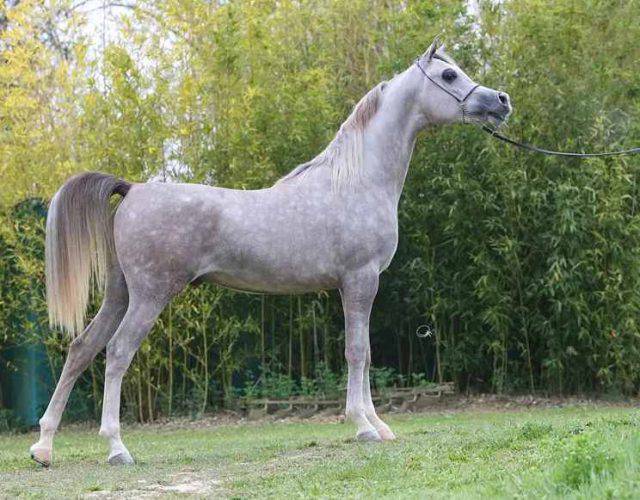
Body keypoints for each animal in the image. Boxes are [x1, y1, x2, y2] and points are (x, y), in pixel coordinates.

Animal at [30, 37, 511, 466]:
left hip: (120, 294)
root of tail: (133, 189)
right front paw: (363, 426)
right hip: (150, 295)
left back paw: (44, 447)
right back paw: (116, 448)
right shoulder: (360, 280)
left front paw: (379, 424)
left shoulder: (358, 285)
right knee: (117, 353)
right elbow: (357, 352)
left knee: (82, 349)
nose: (501, 101)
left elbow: (367, 353)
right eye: (449, 76)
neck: (356, 181)